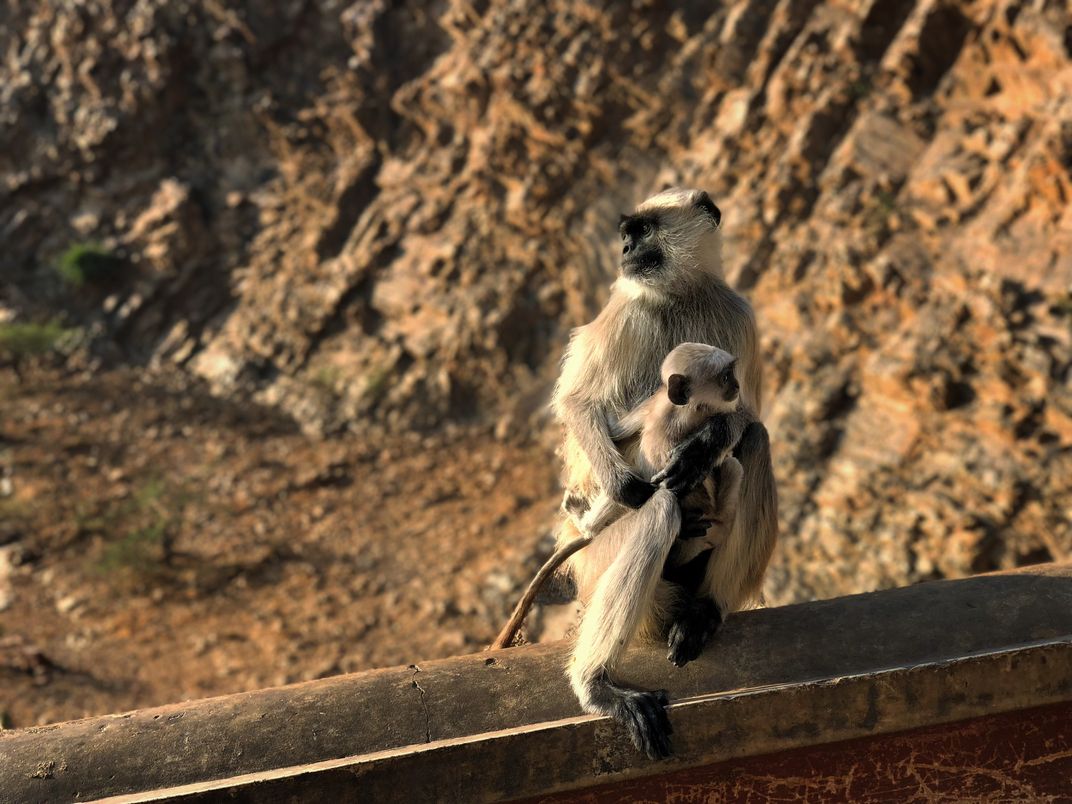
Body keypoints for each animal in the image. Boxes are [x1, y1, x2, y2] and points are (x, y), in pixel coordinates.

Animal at [552, 188, 778, 760]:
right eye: (628, 232)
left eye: (645, 230)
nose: (626, 248)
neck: (680, 294)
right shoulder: (625, 308)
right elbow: (580, 403)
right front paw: (626, 485)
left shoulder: (737, 313)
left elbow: (747, 414)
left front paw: (705, 447)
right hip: (599, 561)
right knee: (657, 512)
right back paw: (597, 688)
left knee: (755, 440)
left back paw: (704, 611)